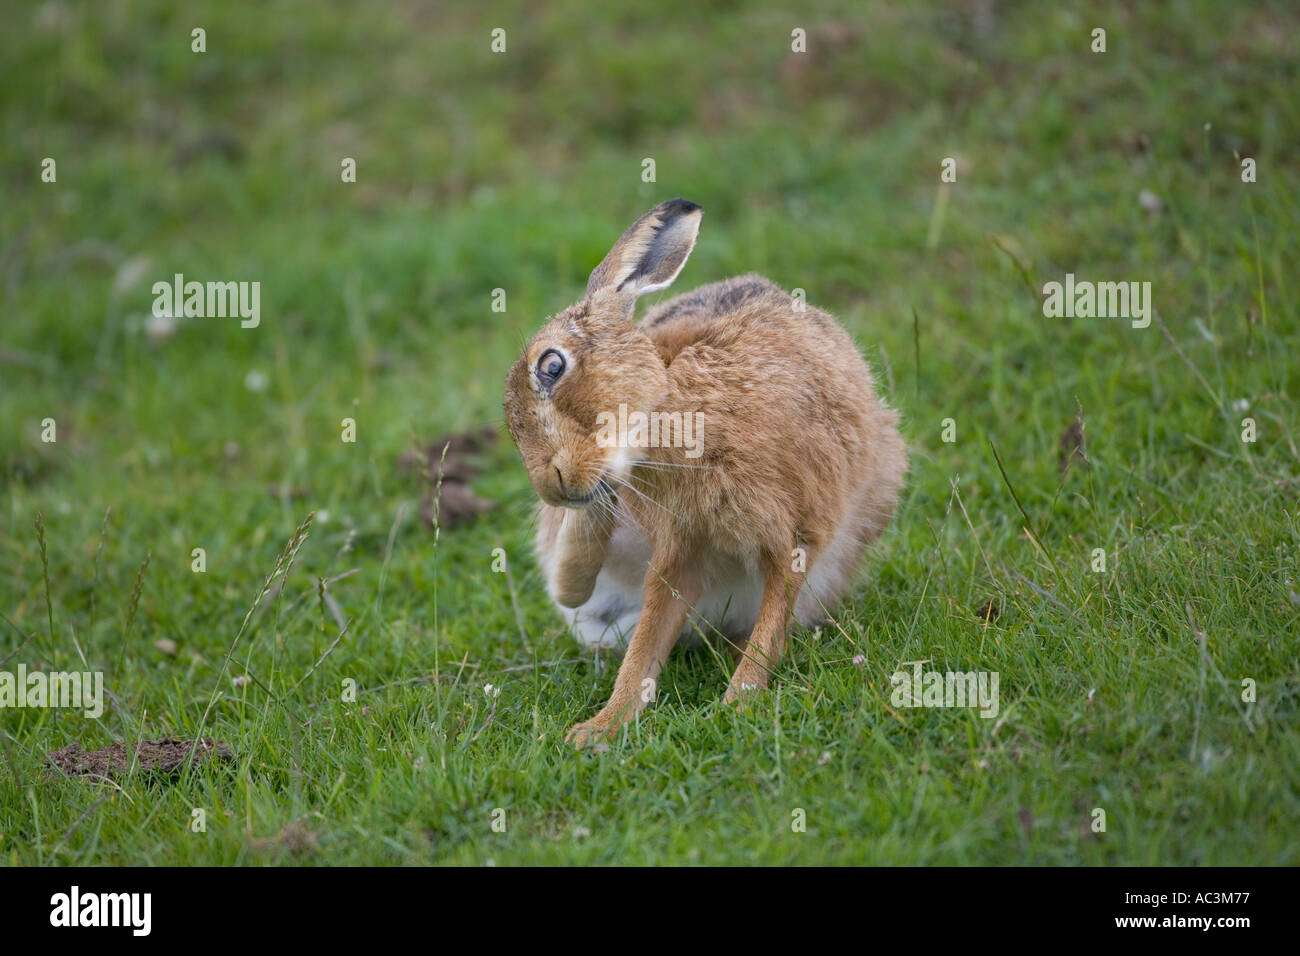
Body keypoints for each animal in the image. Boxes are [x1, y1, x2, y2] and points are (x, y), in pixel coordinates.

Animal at [503, 198, 906, 747]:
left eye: (551, 366)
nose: (551, 487)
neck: (669, 407)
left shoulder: (796, 530)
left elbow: (770, 620)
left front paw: (739, 703)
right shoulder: (680, 548)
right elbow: (649, 637)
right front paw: (600, 728)